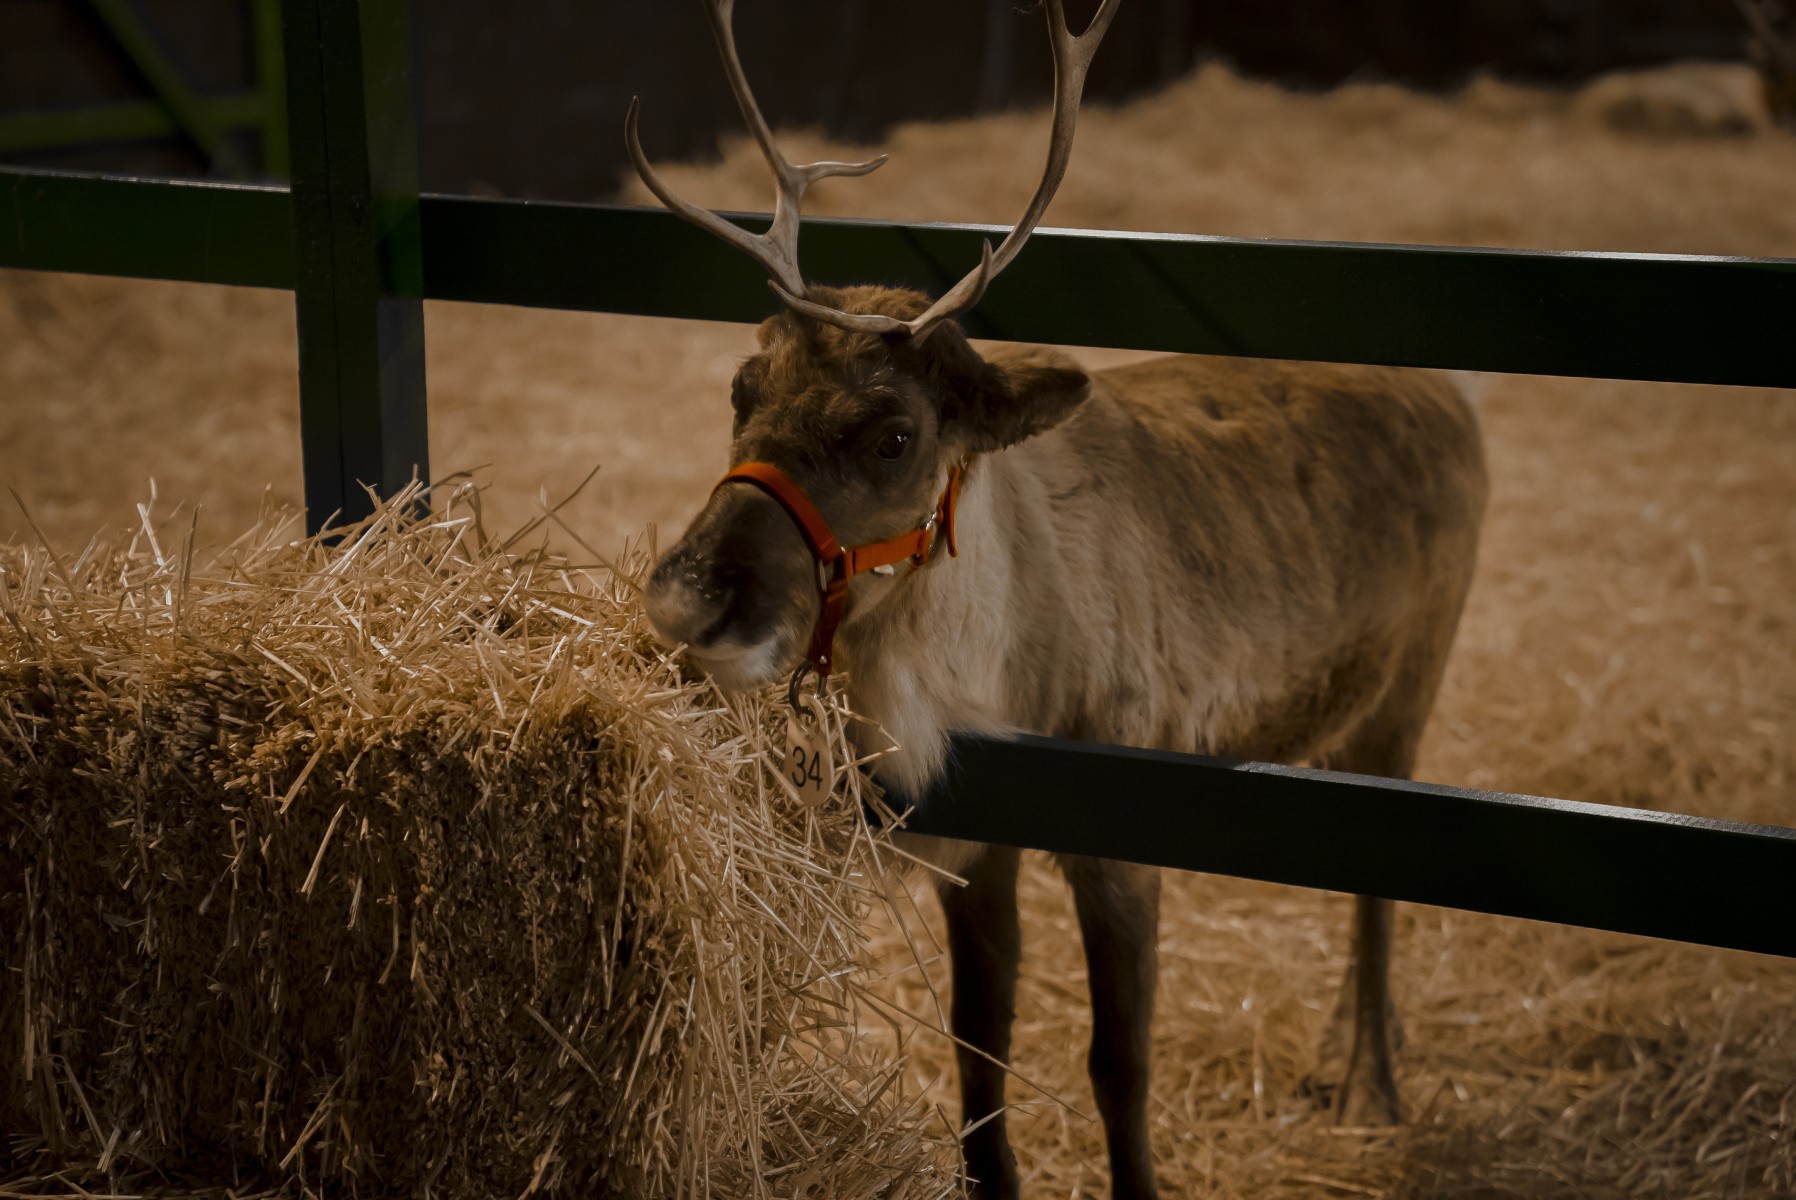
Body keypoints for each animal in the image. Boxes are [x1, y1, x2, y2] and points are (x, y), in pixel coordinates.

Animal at [630, 3, 1487, 1197]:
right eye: (739, 390)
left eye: (893, 434)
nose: (686, 598)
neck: (1000, 676)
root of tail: (1443, 388)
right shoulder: (975, 843)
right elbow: (976, 1043)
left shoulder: (1122, 839)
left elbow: (1117, 1066)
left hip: (1408, 692)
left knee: (1377, 894)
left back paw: (1371, 1079)